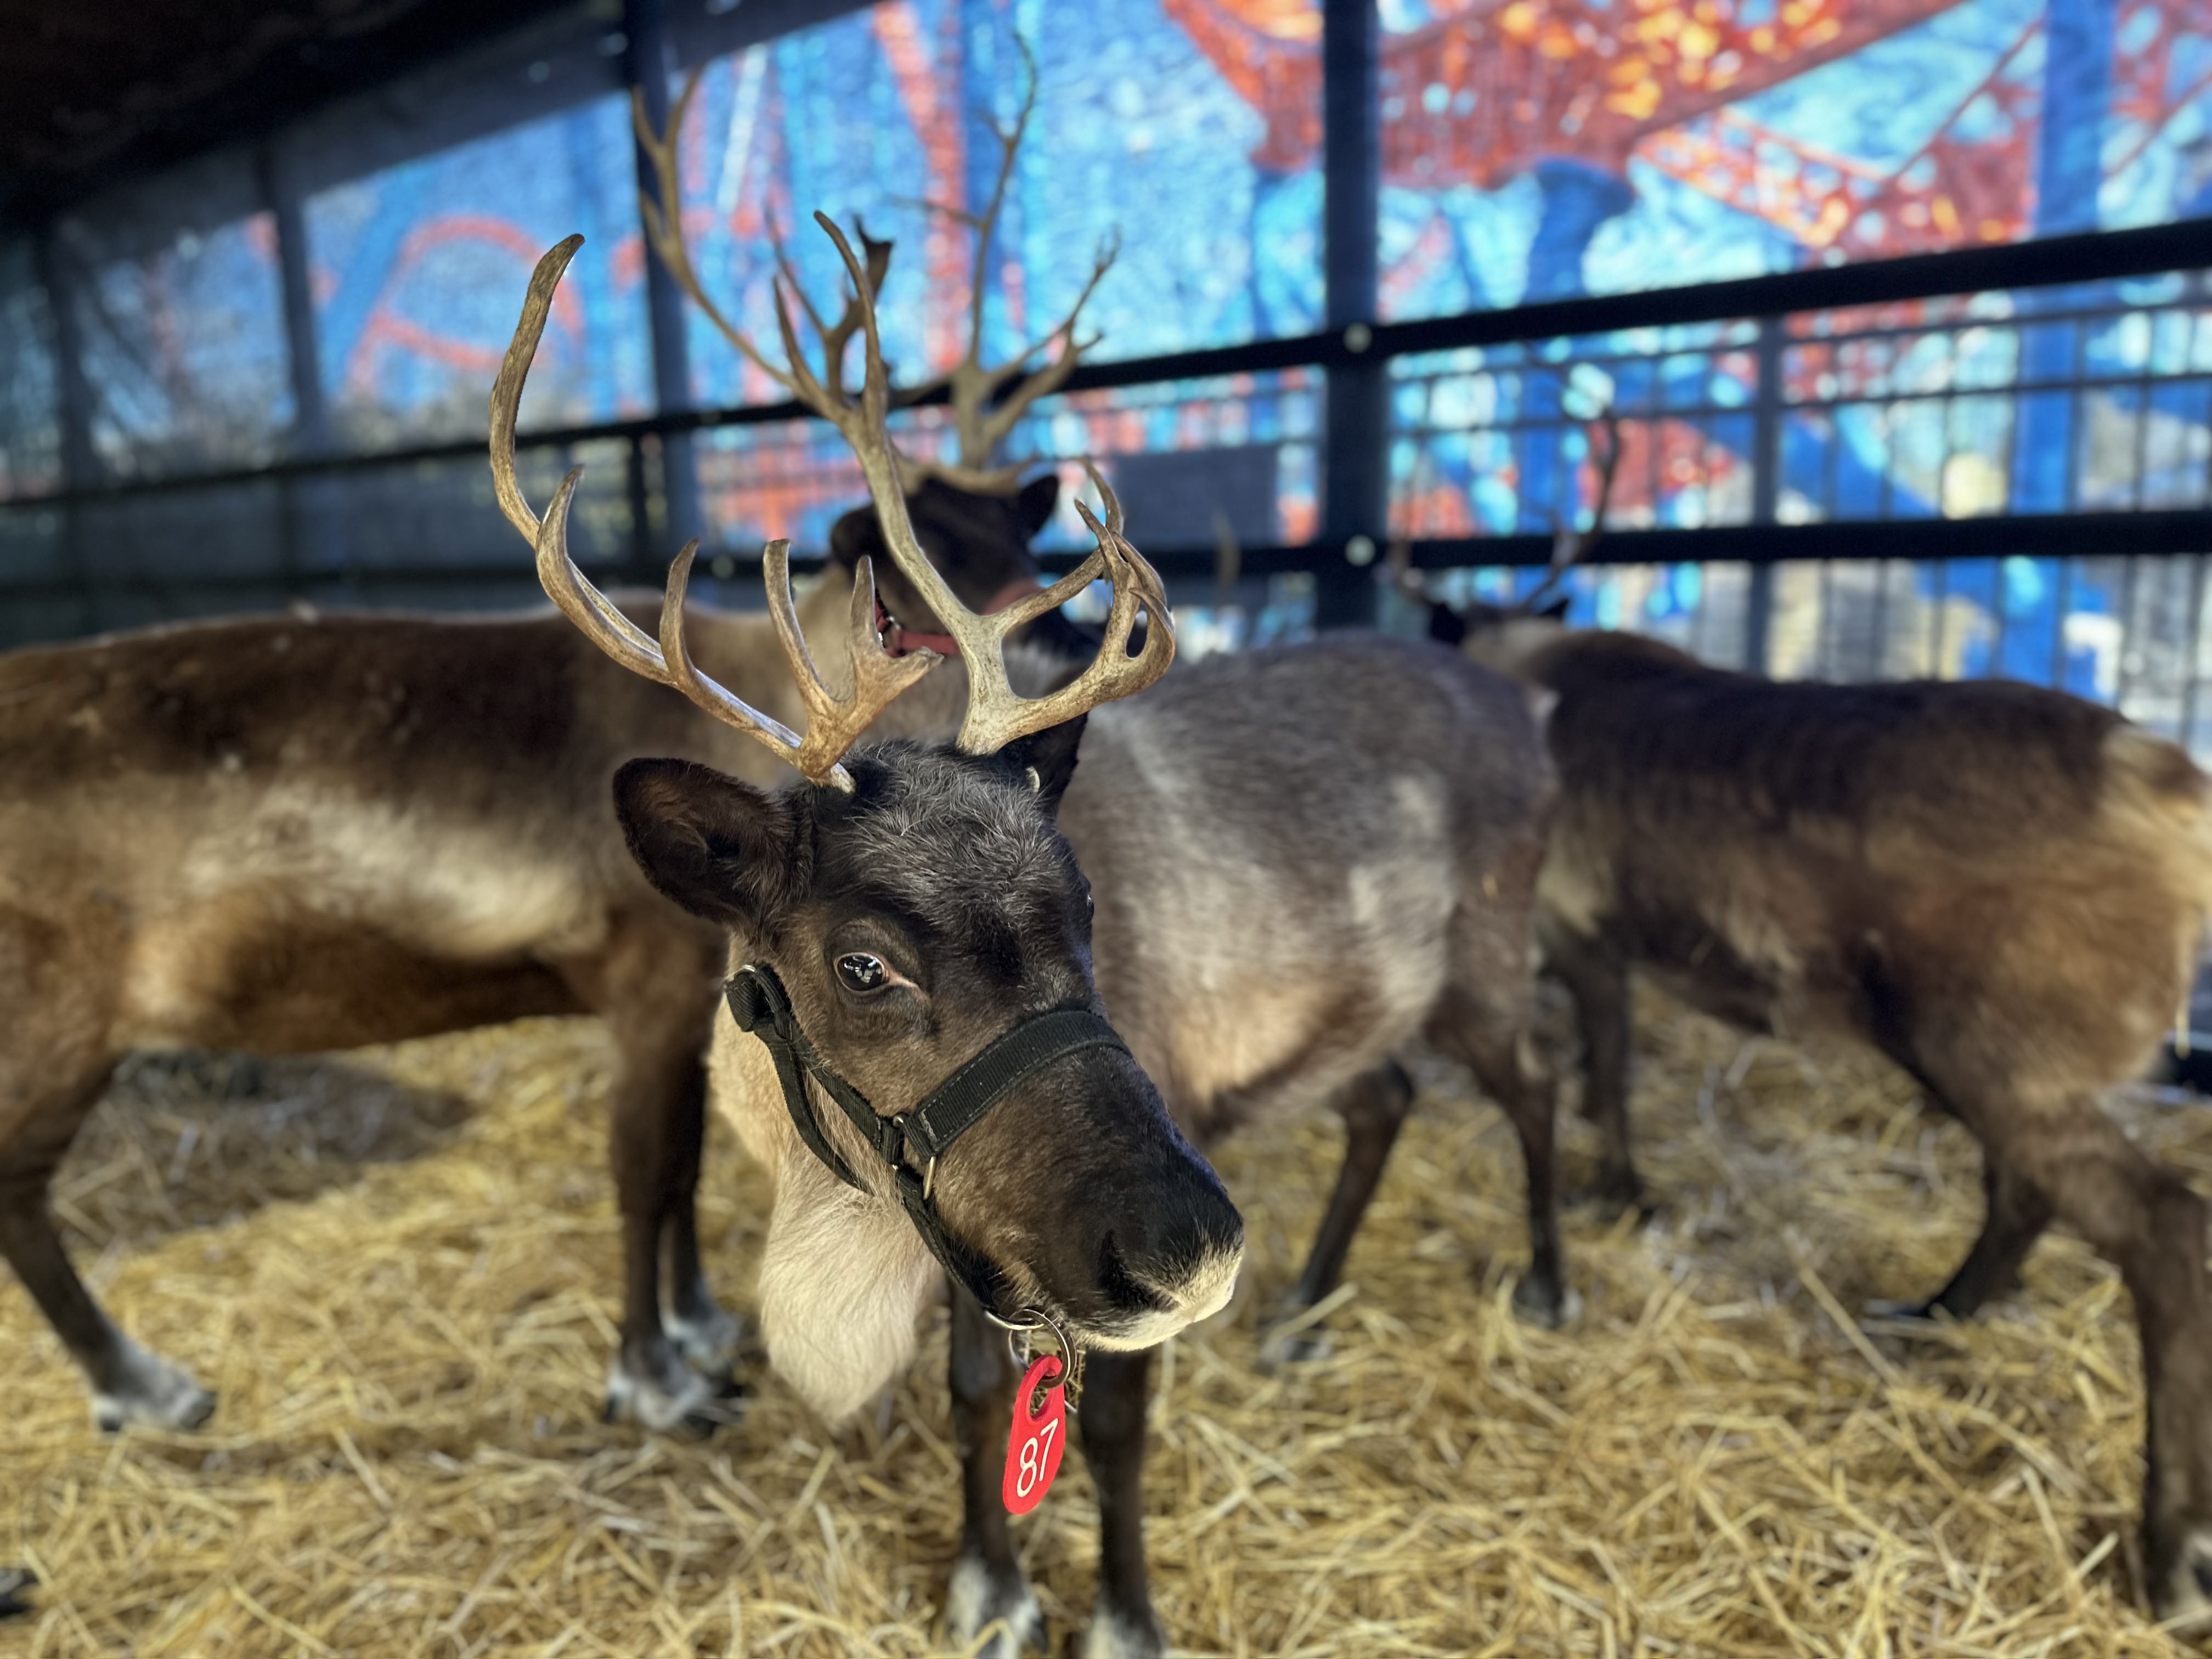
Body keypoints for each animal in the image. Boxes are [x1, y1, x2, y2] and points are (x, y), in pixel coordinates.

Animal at [1402, 420, 2212, 1625]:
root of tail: (2176, 793)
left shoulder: (1578, 930)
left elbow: (1609, 1062)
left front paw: (1620, 1191)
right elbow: (1607, 1068)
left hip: (1995, 1052)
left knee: (2159, 1225)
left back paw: (2167, 1553)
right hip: (1991, 1058)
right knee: (2024, 1193)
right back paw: (1934, 1314)